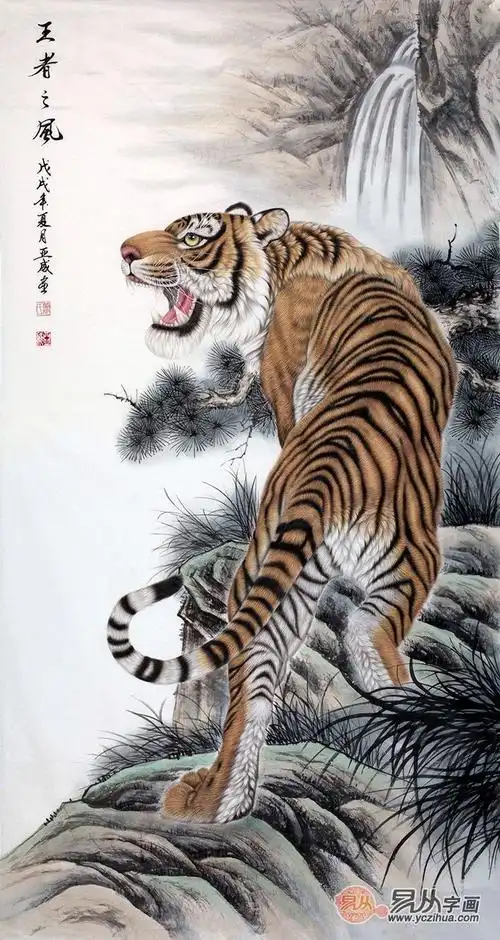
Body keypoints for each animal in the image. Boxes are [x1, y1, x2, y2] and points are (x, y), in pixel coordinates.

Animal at [109, 201, 457, 824]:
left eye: (192, 236)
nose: (124, 252)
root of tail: (322, 479)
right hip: (405, 558)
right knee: (364, 636)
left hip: (277, 575)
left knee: (260, 672)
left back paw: (213, 801)